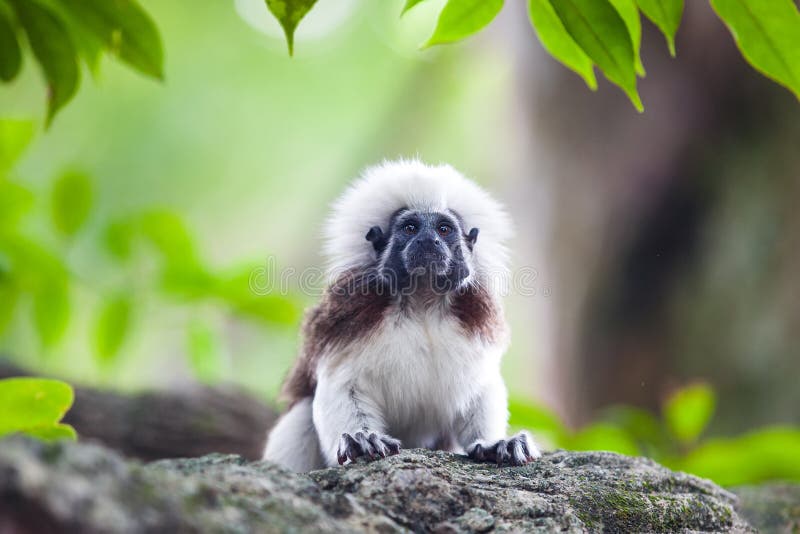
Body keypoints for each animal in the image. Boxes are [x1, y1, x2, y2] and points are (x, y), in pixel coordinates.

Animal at [263, 160, 540, 471]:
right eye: (410, 228)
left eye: (444, 229)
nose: (428, 240)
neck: (422, 304)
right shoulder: (348, 317)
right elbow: (341, 385)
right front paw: (363, 440)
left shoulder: (474, 319)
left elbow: (479, 390)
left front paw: (493, 444)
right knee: (300, 416)